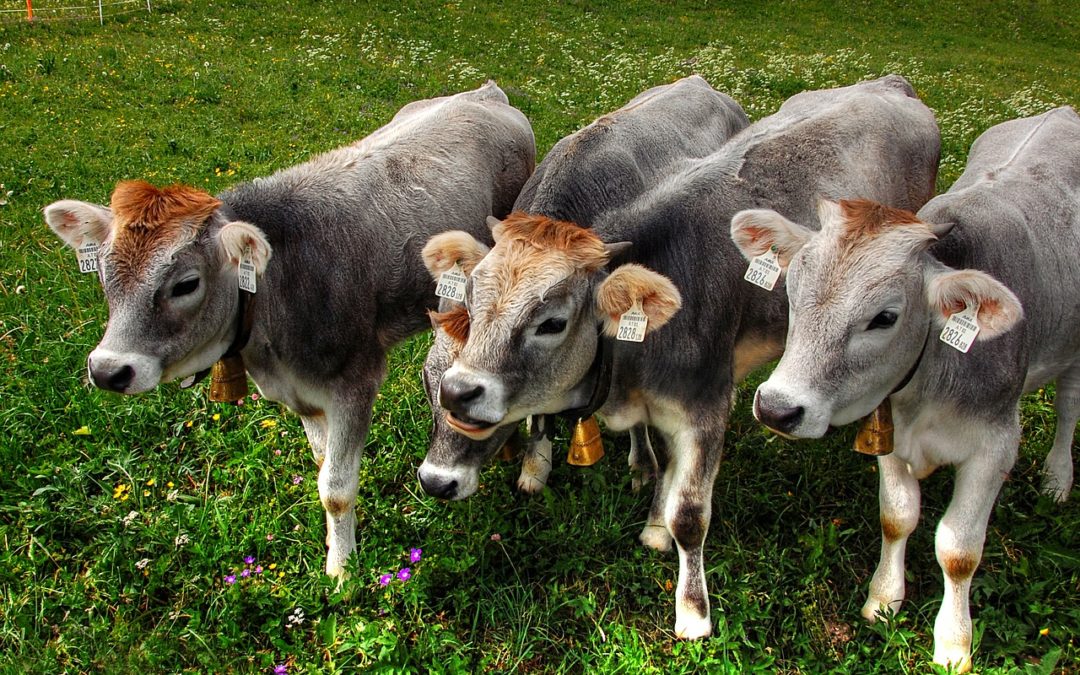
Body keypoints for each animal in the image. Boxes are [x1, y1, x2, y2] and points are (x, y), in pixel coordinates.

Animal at [42, 81, 536, 580]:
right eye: (103, 275)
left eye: (185, 284)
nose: (108, 370)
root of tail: (486, 91)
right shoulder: (302, 393)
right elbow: (322, 466)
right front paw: (334, 544)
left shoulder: (356, 381)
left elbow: (336, 487)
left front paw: (342, 570)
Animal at [730, 106, 1080, 672]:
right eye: (791, 292)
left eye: (885, 317)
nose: (777, 409)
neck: (928, 390)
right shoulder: (889, 423)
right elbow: (896, 517)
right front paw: (883, 599)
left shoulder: (995, 444)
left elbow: (958, 549)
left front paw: (954, 643)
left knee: (1070, 407)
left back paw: (1057, 478)